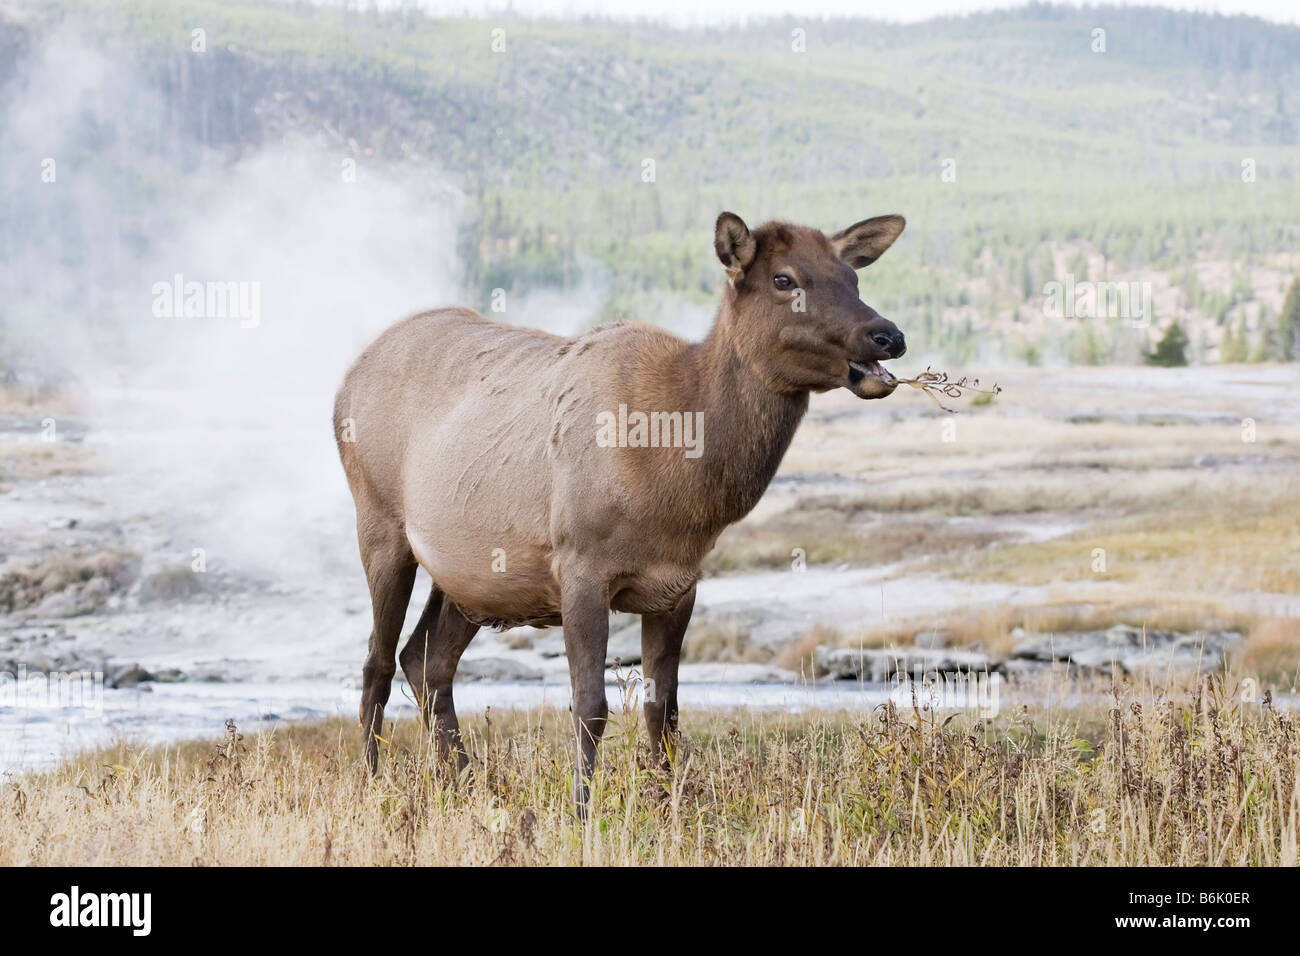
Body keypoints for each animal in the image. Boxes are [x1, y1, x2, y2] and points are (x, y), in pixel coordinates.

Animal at [333, 211, 907, 815]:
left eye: (853, 276)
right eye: (783, 279)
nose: (888, 335)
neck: (676, 479)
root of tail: (345, 381)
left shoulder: (679, 585)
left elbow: (664, 710)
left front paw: (666, 805)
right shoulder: (581, 565)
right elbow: (590, 706)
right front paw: (581, 810)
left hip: (472, 576)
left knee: (425, 661)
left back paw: (468, 786)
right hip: (380, 525)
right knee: (375, 664)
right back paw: (373, 786)